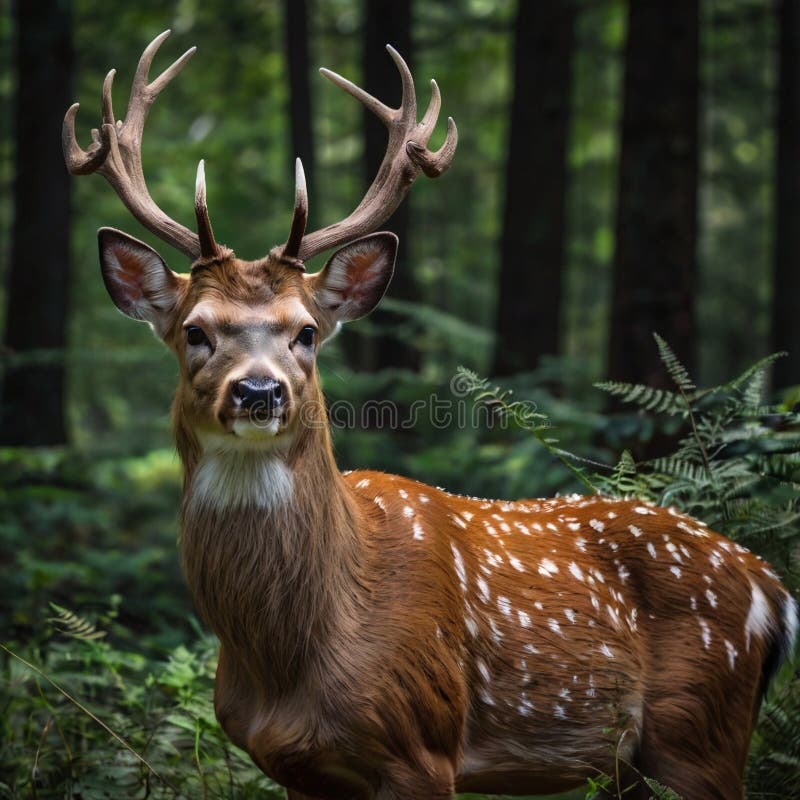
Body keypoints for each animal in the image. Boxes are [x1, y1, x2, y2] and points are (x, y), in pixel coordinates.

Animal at [63, 31, 797, 800]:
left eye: (306, 332)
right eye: (195, 330)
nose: (259, 391)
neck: (299, 653)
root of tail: (772, 588)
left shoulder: (422, 745)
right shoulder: (295, 768)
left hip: (701, 732)